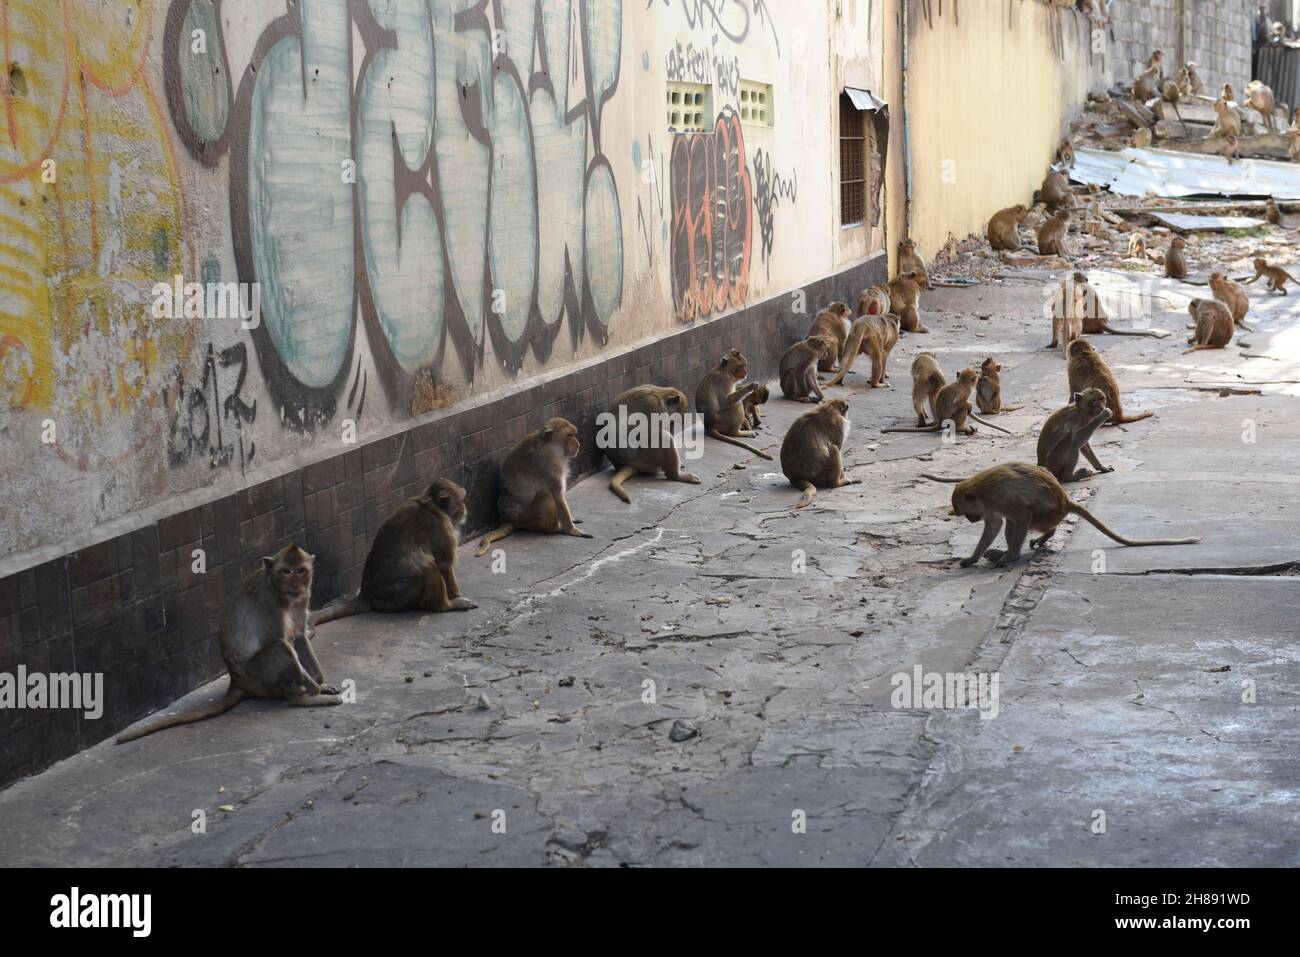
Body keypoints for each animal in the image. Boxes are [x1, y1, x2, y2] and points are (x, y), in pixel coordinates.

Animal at [116, 545, 340, 743]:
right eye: (286, 571)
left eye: (300, 570)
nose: (294, 583)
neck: (282, 594)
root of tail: (237, 681)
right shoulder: (268, 600)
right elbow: (282, 639)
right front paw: (315, 690)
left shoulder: (302, 597)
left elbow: (300, 635)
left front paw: (320, 683)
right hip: (257, 677)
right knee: (280, 647)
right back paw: (300, 699)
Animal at [311, 480, 476, 625]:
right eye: (462, 500)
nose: (466, 508)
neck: (433, 506)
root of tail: (368, 595)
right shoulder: (442, 528)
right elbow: (444, 564)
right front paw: (456, 596)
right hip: (397, 597)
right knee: (426, 565)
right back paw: (445, 606)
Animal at [476, 418, 593, 556]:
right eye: (570, 435)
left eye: (574, 434)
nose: (578, 445)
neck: (550, 447)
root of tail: (508, 519)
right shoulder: (547, 465)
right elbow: (557, 494)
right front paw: (572, 530)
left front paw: (572, 519)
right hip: (527, 518)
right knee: (546, 494)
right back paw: (555, 529)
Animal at [882, 368, 1013, 437]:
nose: (980, 377)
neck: (961, 383)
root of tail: (940, 422)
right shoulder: (964, 391)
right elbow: (958, 403)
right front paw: (969, 405)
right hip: (951, 420)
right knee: (962, 410)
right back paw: (960, 428)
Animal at [921, 463, 1199, 568]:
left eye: (967, 514)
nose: (970, 520)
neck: (980, 490)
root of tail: (1065, 502)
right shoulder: (990, 506)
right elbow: (994, 524)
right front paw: (973, 557)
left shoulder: (1000, 498)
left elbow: (1019, 516)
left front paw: (1010, 556)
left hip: (1048, 513)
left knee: (1024, 518)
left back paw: (1022, 548)